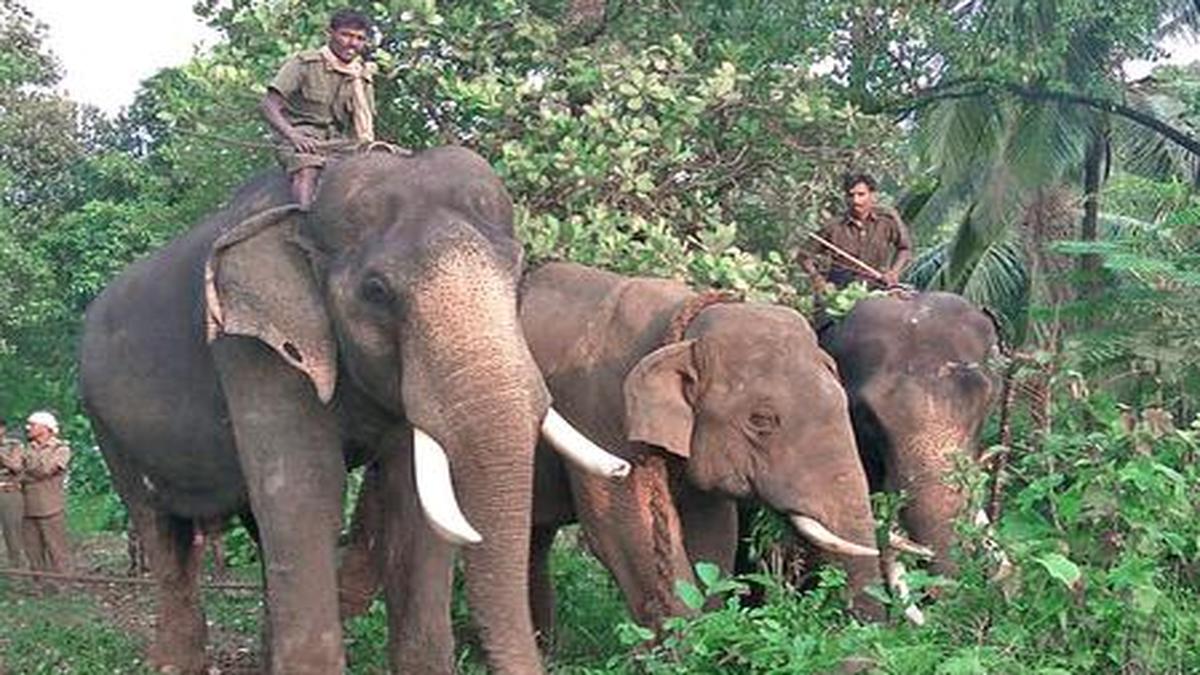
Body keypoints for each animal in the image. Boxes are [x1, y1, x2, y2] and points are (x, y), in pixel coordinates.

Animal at [78, 148, 626, 675]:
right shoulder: (254, 351)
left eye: (516, 276)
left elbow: (412, 507)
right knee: (159, 527)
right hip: (104, 422)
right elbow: (306, 494)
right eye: (376, 291)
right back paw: (175, 663)